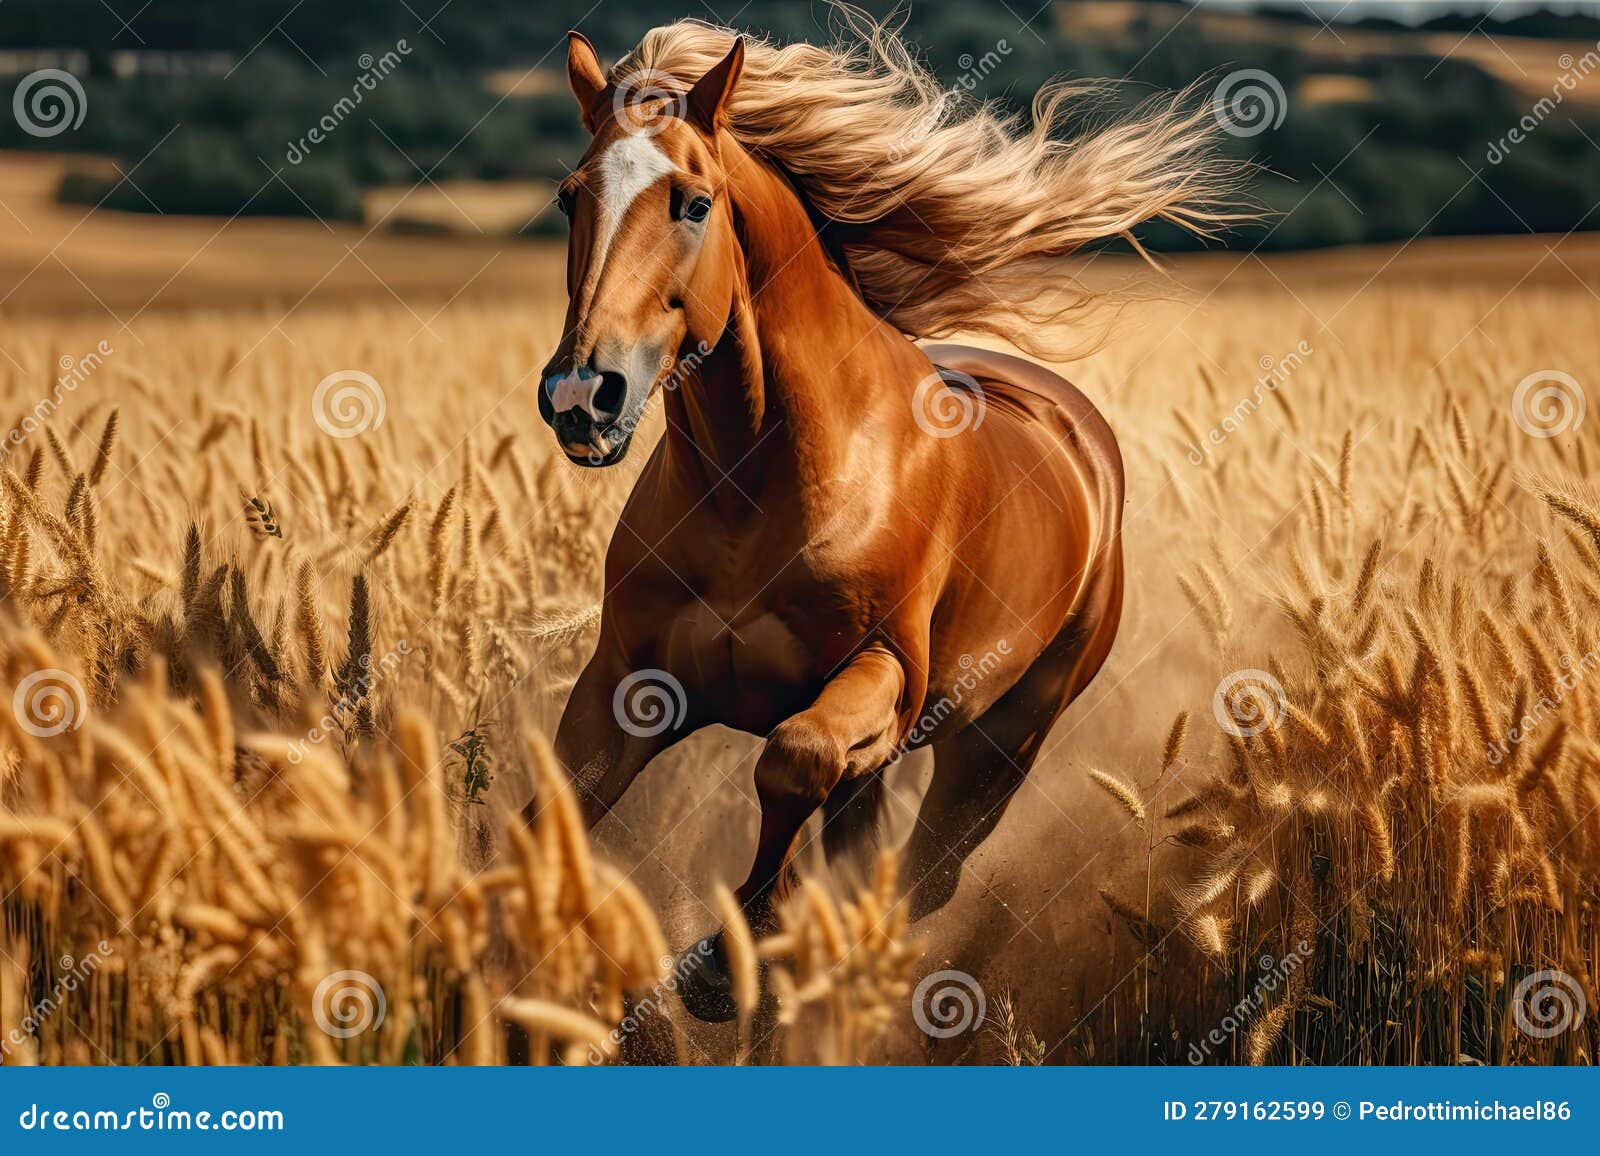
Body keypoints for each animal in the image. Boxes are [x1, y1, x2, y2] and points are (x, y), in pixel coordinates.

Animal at [531, 20, 1233, 1022]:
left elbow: (792, 759)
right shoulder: (625, 683)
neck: (755, 483)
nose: (583, 396)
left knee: (925, 872)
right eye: (568, 199)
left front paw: (727, 958)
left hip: (997, 748)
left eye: (693, 203)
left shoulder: (888, 674)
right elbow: (552, 813)